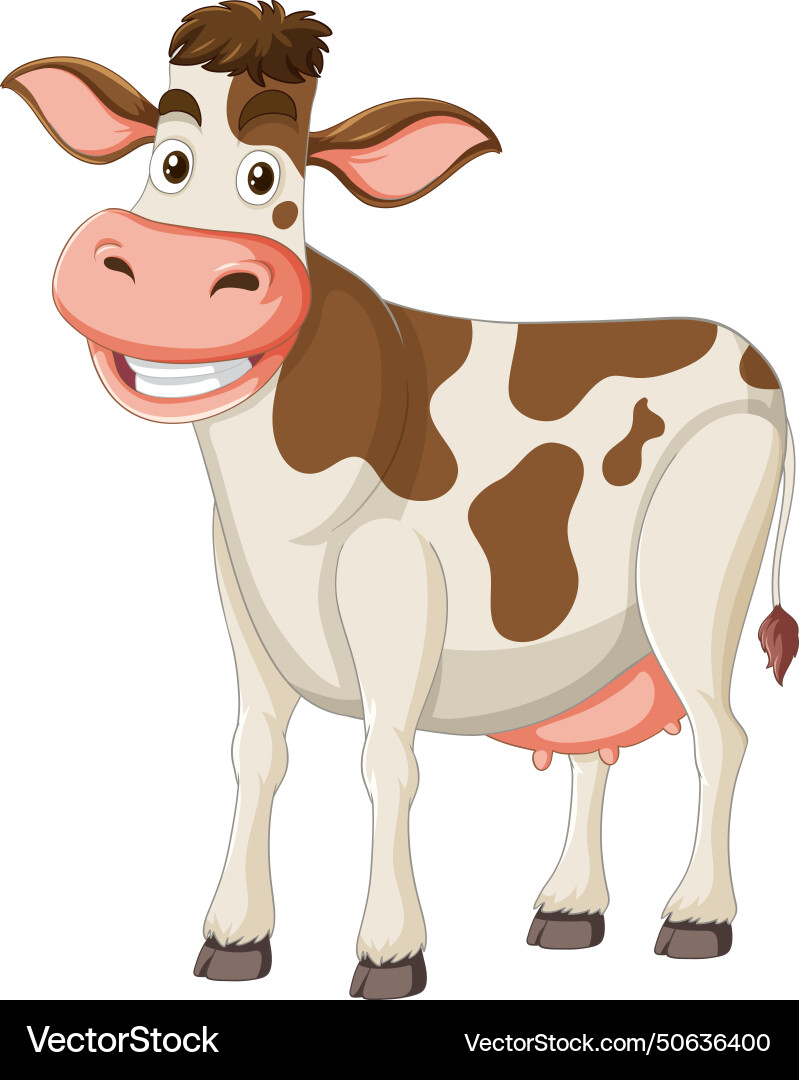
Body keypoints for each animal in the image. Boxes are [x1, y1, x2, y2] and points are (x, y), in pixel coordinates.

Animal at [3, 1, 796, 1000]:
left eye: (268, 177)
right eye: (168, 161)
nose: (172, 277)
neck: (272, 498)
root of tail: (750, 354)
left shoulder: (397, 591)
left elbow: (386, 760)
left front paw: (388, 950)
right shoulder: (239, 597)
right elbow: (255, 755)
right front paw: (235, 937)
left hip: (692, 581)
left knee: (720, 736)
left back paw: (696, 917)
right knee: (595, 751)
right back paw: (569, 910)